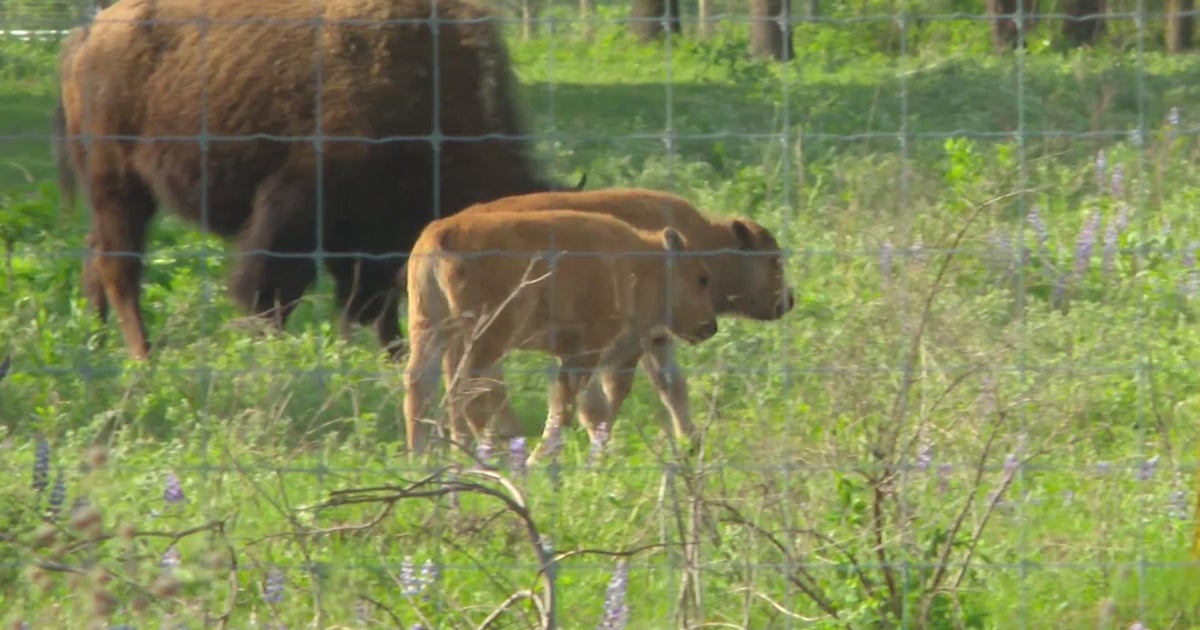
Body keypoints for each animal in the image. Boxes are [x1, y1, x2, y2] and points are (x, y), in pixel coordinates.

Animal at [54, 0, 584, 362]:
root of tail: (88, 35)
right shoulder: (296, 211)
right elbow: (276, 291)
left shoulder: (374, 239)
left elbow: (374, 301)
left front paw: (390, 358)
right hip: (120, 187)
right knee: (120, 267)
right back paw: (143, 354)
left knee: (96, 257)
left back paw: (97, 344)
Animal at [402, 209, 718, 461]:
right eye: (701, 278)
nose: (709, 327)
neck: (638, 263)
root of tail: (444, 233)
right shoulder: (588, 351)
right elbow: (566, 409)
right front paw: (544, 460)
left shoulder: (576, 354)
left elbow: (587, 409)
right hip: (486, 337)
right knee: (469, 395)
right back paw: (497, 459)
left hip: (428, 327)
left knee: (420, 386)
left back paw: (420, 461)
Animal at [443, 187, 795, 448]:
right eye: (773, 260)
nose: (789, 301)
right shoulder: (628, 341)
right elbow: (613, 392)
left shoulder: (656, 338)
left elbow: (672, 388)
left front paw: (691, 443)